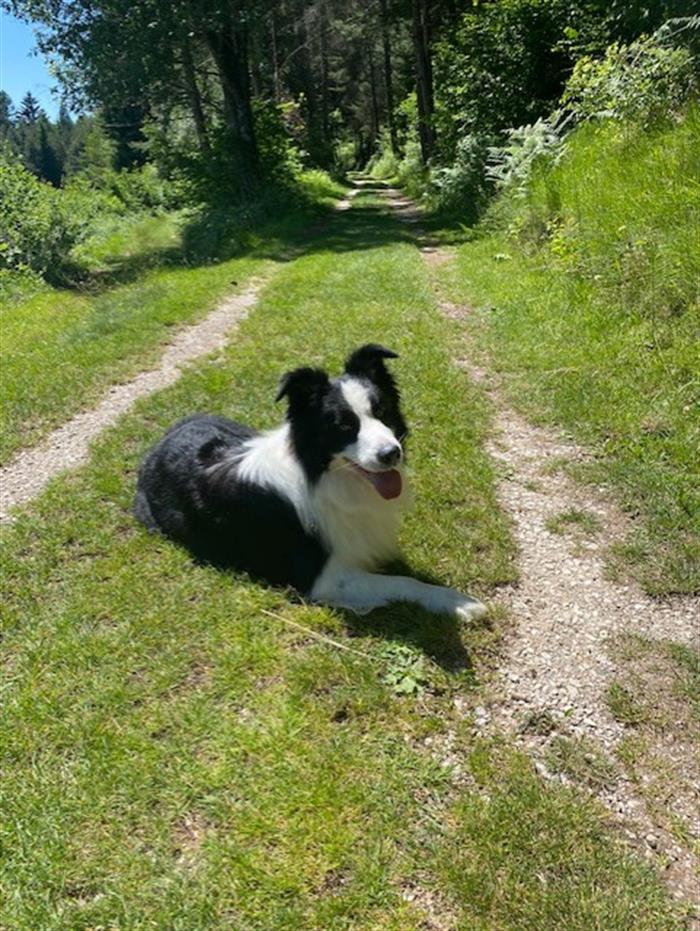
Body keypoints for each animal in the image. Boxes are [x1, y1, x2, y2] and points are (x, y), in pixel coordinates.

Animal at [134, 346, 484, 624]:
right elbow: (402, 581)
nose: (391, 454)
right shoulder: (323, 578)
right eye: (343, 425)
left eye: (382, 410)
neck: (322, 474)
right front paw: (455, 602)